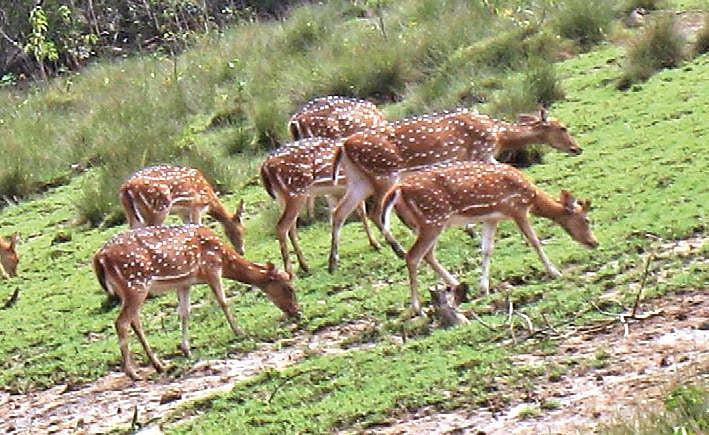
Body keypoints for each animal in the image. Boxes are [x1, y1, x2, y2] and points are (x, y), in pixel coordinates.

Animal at [93, 224, 299, 380]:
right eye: (289, 288)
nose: (297, 312)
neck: (224, 258)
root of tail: (99, 257)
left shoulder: (185, 283)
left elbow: (185, 312)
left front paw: (186, 349)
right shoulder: (212, 267)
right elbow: (223, 301)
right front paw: (239, 332)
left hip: (127, 290)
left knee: (134, 322)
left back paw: (159, 365)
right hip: (136, 283)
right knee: (121, 322)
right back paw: (133, 373)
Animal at [261, 137, 382, 275]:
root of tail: (264, 167)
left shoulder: (337, 191)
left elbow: (356, 213)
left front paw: (374, 243)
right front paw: (377, 244)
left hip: (282, 197)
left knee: (291, 228)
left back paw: (305, 266)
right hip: (296, 193)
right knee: (282, 227)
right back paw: (290, 272)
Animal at [328, 107, 582, 272]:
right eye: (562, 127)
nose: (577, 148)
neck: (498, 135)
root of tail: (343, 147)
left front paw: (471, 228)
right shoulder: (481, 152)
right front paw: (472, 227)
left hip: (360, 180)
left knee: (340, 212)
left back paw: (333, 262)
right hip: (385, 174)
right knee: (375, 212)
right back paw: (398, 250)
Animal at [379, 161, 598, 314]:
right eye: (586, 219)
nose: (594, 242)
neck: (532, 197)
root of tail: (397, 190)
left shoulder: (492, 218)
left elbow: (486, 249)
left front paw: (483, 288)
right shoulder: (517, 208)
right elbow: (534, 241)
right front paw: (555, 272)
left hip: (423, 225)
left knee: (428, 254)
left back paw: (455, 284)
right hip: (433, 219)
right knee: (413, 256)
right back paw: (417, 306)